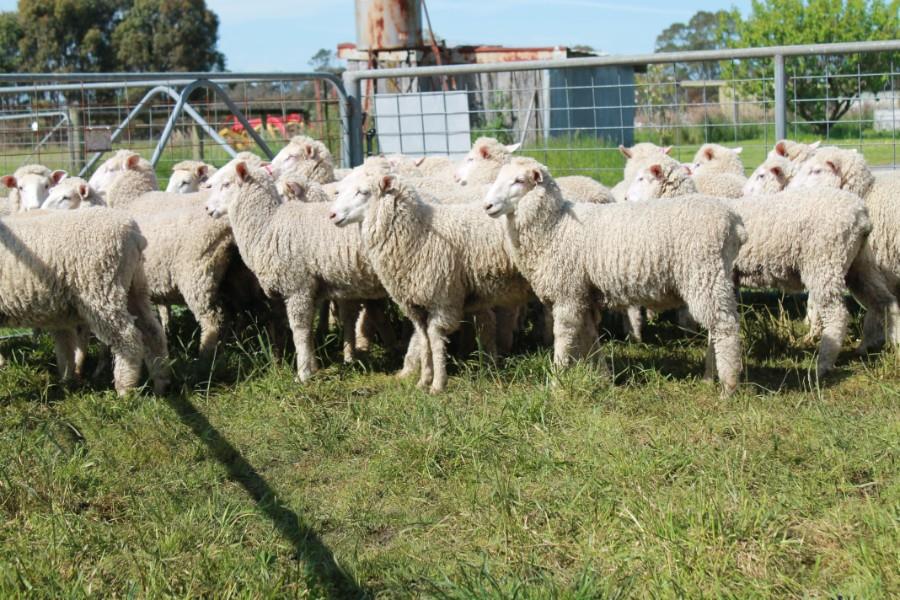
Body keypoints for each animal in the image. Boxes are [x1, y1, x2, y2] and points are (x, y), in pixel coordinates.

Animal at [0, 208, 169, 394]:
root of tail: (134, 234)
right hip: (134, 286)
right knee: (153, 332)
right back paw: (160, 384)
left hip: (102, 290)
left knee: (128, 339)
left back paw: (125, 390)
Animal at [204, 159, 394, 381]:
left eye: (226, 184)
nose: (207, 208)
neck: (267, 225)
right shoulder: (311, 289)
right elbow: (308, 331)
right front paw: (313, 367)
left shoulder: (297, 286)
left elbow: (300, 331)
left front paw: (303, 374)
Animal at [330, 157, 532, 393]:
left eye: (362, 192)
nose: (332, 215)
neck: (419, 232)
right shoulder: (415, 305)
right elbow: (423, 339)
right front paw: (423, 380)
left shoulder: (442, 300)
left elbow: (435, 339)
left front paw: (437, 384)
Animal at [481, 157, 744, 394]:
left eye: (519, 181)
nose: (487, 206)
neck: (555, 226)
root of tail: (734, 222)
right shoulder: (584, 295)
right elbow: (590, 337)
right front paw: (603, 377)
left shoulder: (568, 294)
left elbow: (564, 337)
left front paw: (556, 383)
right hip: (713, 277)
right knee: (716, 330)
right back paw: (709, 378)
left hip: (704, 275)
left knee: (725, 329)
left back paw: (728, 387)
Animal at [627, 158, 872, 377]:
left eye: (642, 178)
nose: (626, 197)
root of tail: (861, 212)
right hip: (854, 264)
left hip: (824, 261)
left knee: (837, 314)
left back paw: (823, 364)